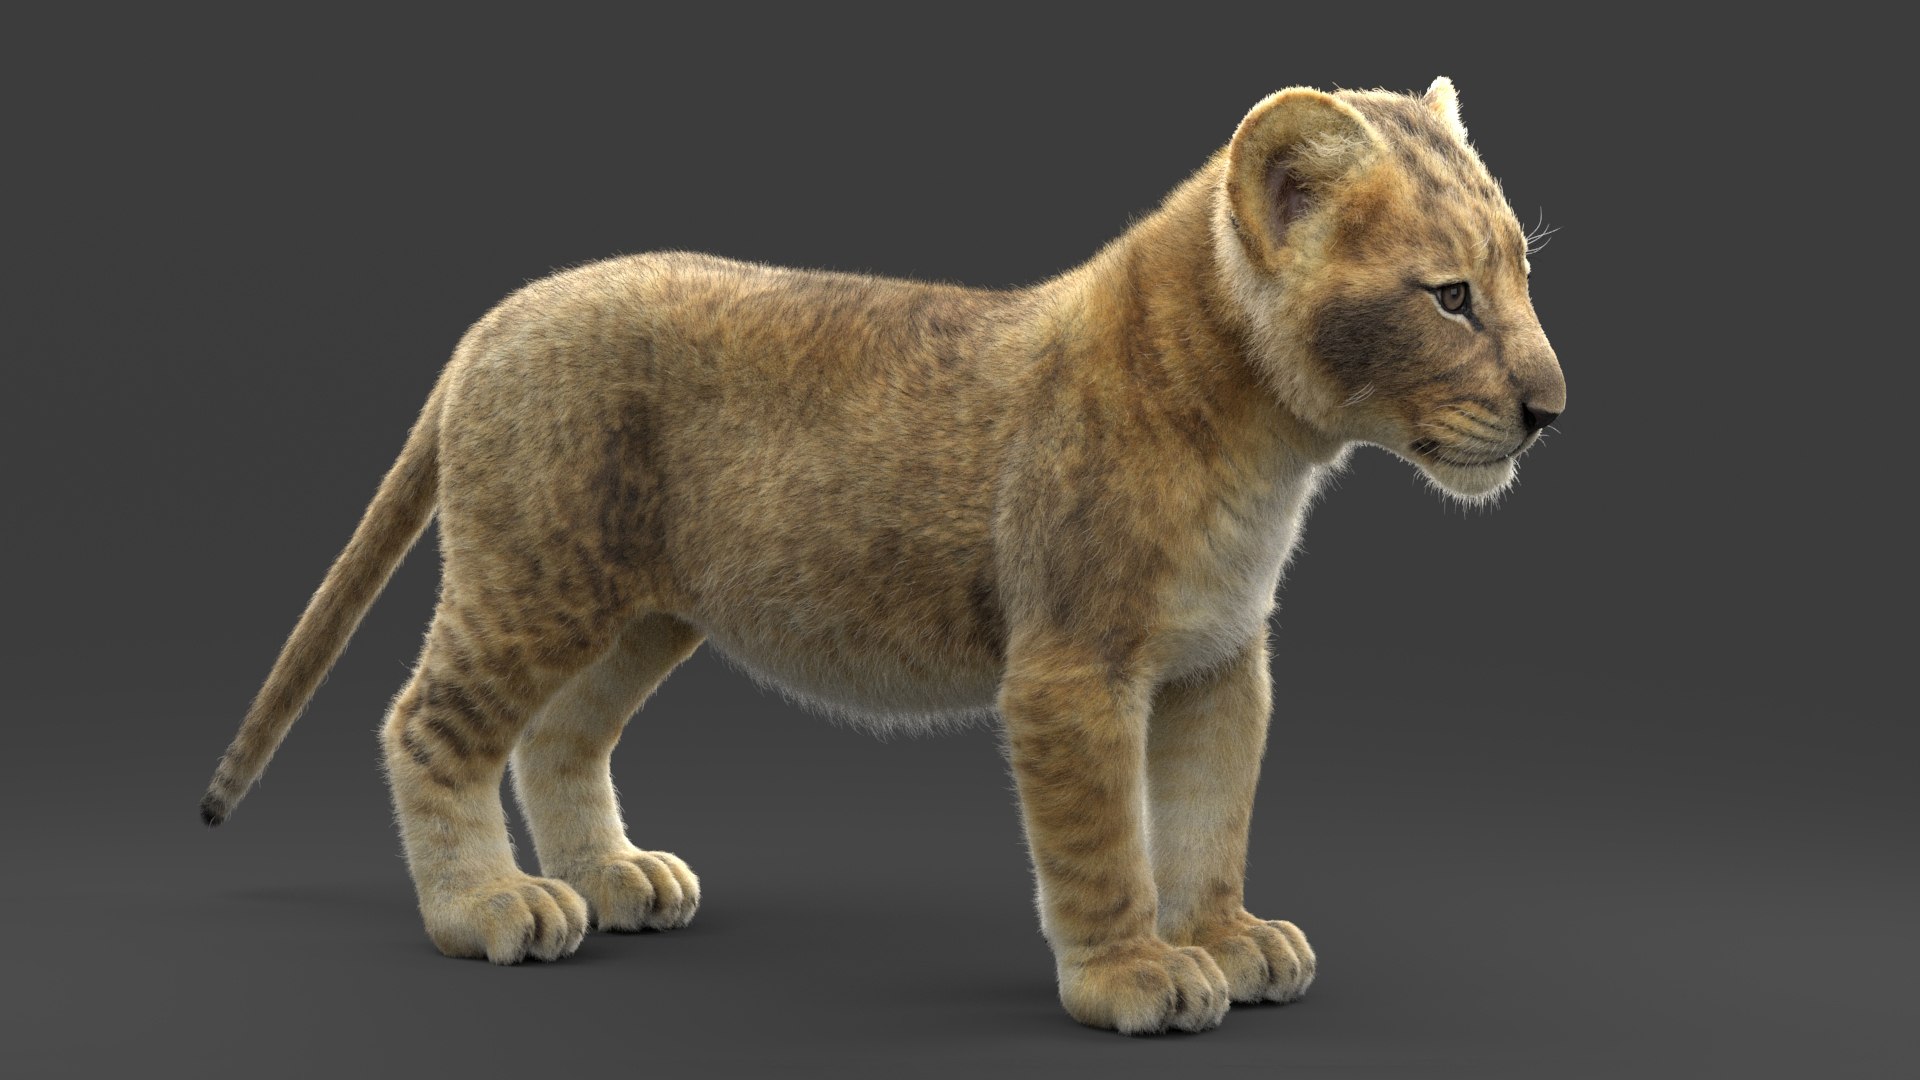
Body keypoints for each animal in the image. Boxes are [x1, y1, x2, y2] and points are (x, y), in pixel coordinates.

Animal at [201, 77, 1566, 1035]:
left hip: (640, 608)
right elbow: (1104, 843)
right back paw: (490, 906)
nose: (1553, 408)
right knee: (431, 723)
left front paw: (1229, 938)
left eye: (1519, 275)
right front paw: (1134, 974)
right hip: (538, 574)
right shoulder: (1071, 668)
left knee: (558, 737)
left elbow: (1209, 816)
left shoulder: (1220, 662)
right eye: (1449, 296)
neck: (1267, 443)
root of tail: (495, 317)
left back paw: (618, 878)